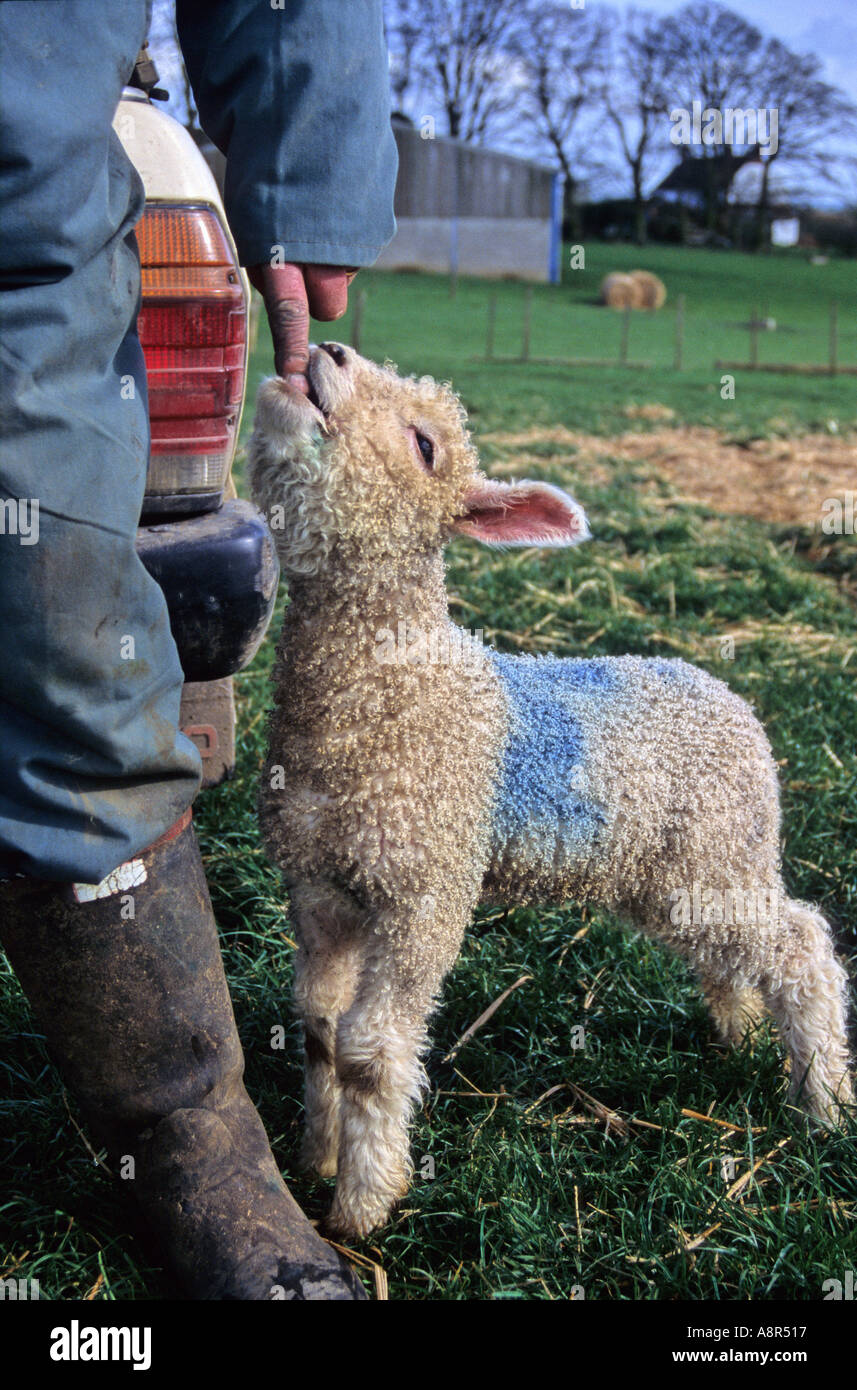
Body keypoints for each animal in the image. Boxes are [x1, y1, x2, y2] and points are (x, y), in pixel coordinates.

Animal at [248, 342, 854, 1240]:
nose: (327, 350)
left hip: (714, 852)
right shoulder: (319, 886)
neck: (385, 693)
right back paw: (738, 1032)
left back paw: (824, 1103)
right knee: (735, 953)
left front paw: (361, 1207)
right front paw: (317, 1157)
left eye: (424, 444)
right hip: (673, 875)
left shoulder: (426, 890)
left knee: (801, 945)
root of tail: (735, 705)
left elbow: (368, 1050)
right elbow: (319, 1026)